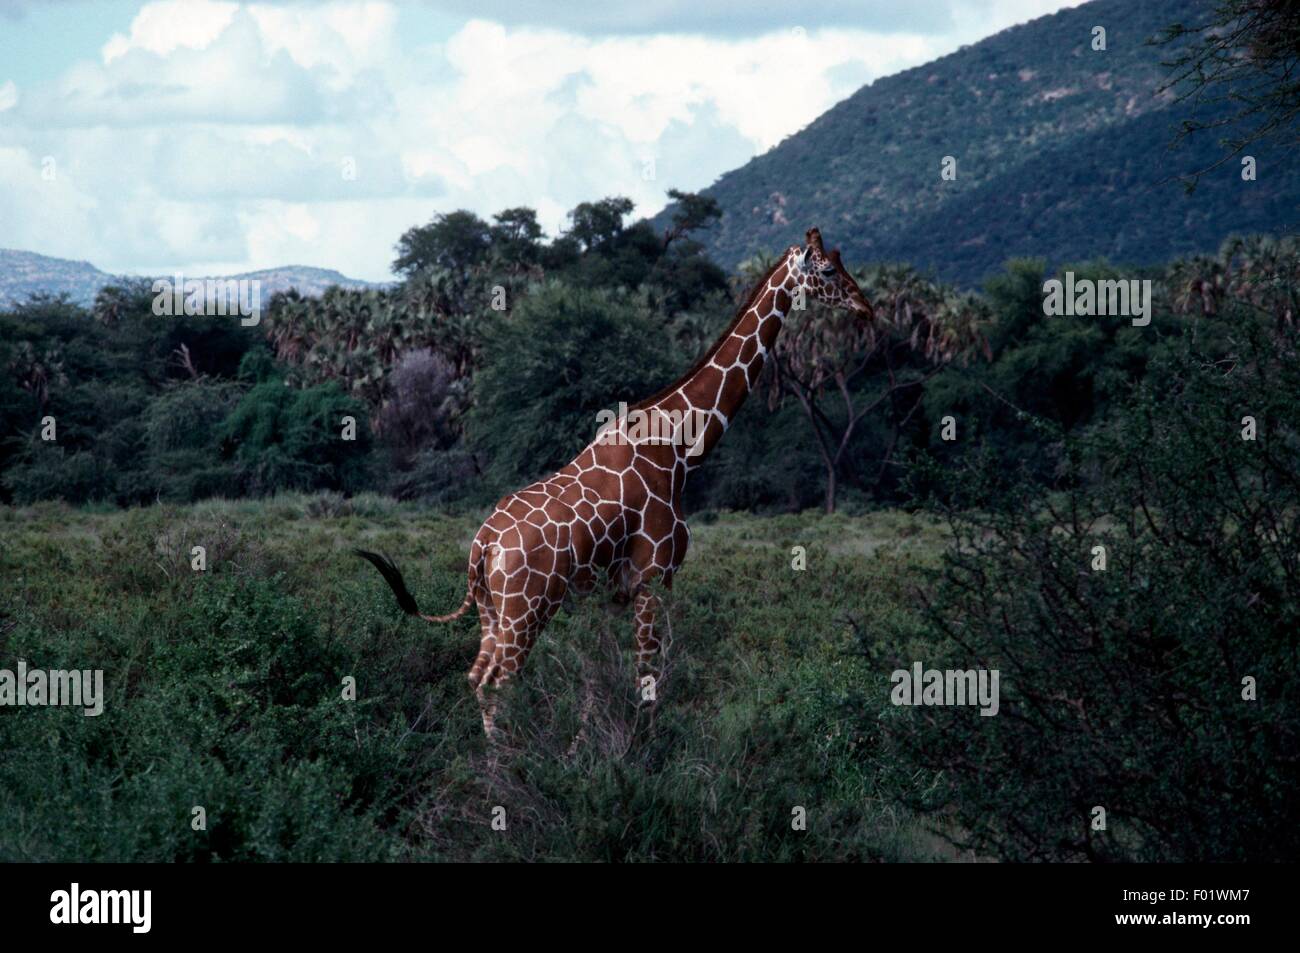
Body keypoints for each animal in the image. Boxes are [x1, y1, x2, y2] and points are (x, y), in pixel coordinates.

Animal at [358, 227, 874, 737]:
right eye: (829, 270)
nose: (865, 307)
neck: (678, 448)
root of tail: (481, 544)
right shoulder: (654, 576)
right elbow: (647, 673)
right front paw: (642, 748)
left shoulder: (613, 591)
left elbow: (600, 677)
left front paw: (588, 744)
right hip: (526, 608)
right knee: (499, 681)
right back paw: (509, 759)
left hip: (491, 609)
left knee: (475, 675)